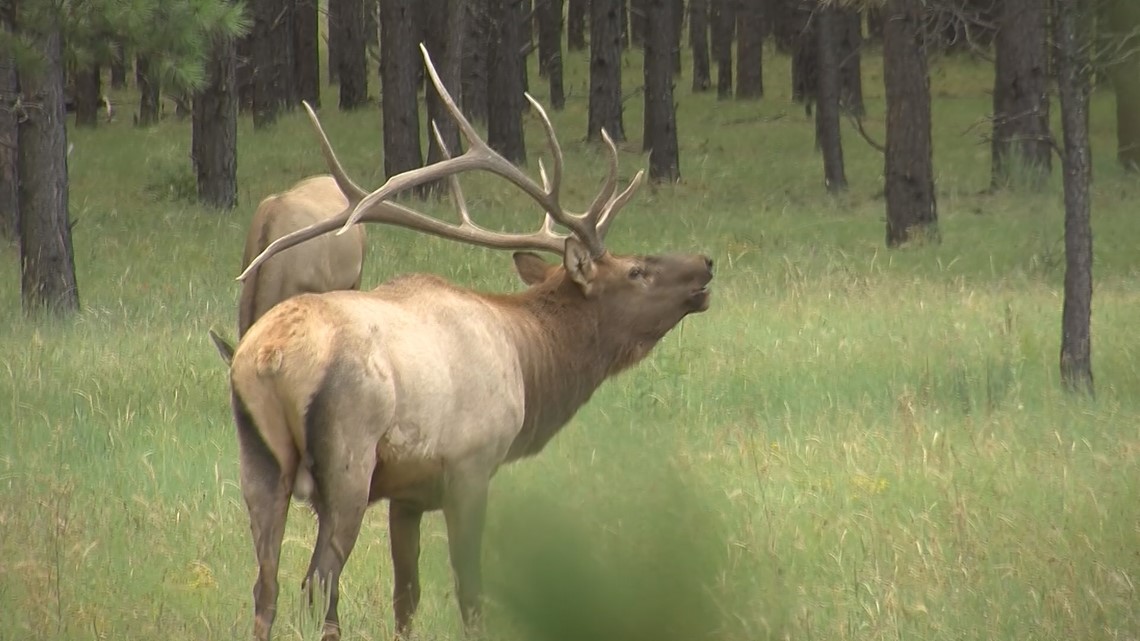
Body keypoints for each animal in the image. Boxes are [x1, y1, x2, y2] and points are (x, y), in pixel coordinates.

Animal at [225, 45, 713, 641]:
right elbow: (470, 591)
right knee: (318, 582)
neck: (527, 360)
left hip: (259, 463)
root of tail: (267, 359)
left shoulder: (407, 494)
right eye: (637, 271)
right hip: (348, 460)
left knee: (265, 587)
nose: (704, 263)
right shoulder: (471, 464)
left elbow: (406, 597)